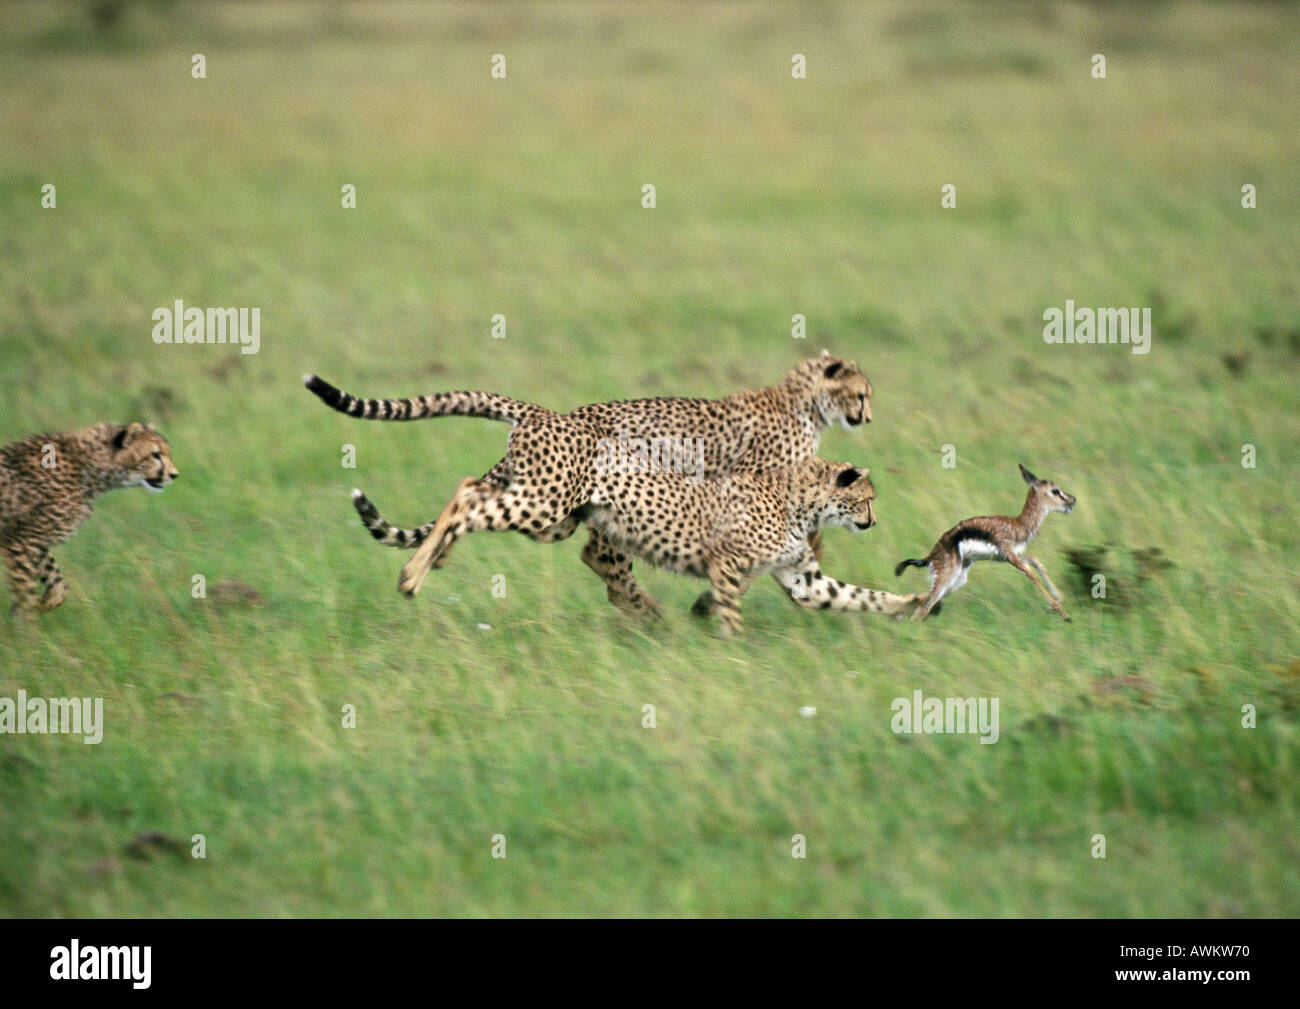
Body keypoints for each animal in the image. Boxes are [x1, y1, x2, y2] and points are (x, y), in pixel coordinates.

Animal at [0, 422, 179, 613]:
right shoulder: (21, 541)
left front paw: (43, 603)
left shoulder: (32, 541)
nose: (174, 475)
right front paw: (25, 618)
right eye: (155, 455)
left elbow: (59, 584)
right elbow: (26, 594)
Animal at [305, 350, 873, 614]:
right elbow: (795, 542)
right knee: (594, 557)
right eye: (863, 393)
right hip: (561, 505)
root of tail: (549, 413)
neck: (801, 403)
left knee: (478, 496)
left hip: (557, 508)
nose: (868, 416)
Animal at [358, 456, 923, 634]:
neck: (799, 500)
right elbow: (731, 613)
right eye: (867, 498)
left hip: (552, 520)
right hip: (545, 509)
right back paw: (412, 576)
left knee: (471, 490)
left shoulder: (802, 578)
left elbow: (861, 596)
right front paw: (734, 649)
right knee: (467, 497)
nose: (874, 520)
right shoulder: (726, 564)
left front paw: (913, 604)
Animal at [895, 464, 1076, 622]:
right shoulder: (1009, 555)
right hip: (945, 581)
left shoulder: (1011, 555)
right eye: (1055, 490)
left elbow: (1036, 562)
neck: (1018, 525)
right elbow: (1030, 573)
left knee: (922, 600)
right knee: (922, 608)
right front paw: (1063, 614)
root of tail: (929, 557)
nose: (1072, 499)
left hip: (956, 581)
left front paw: (1058, 599)